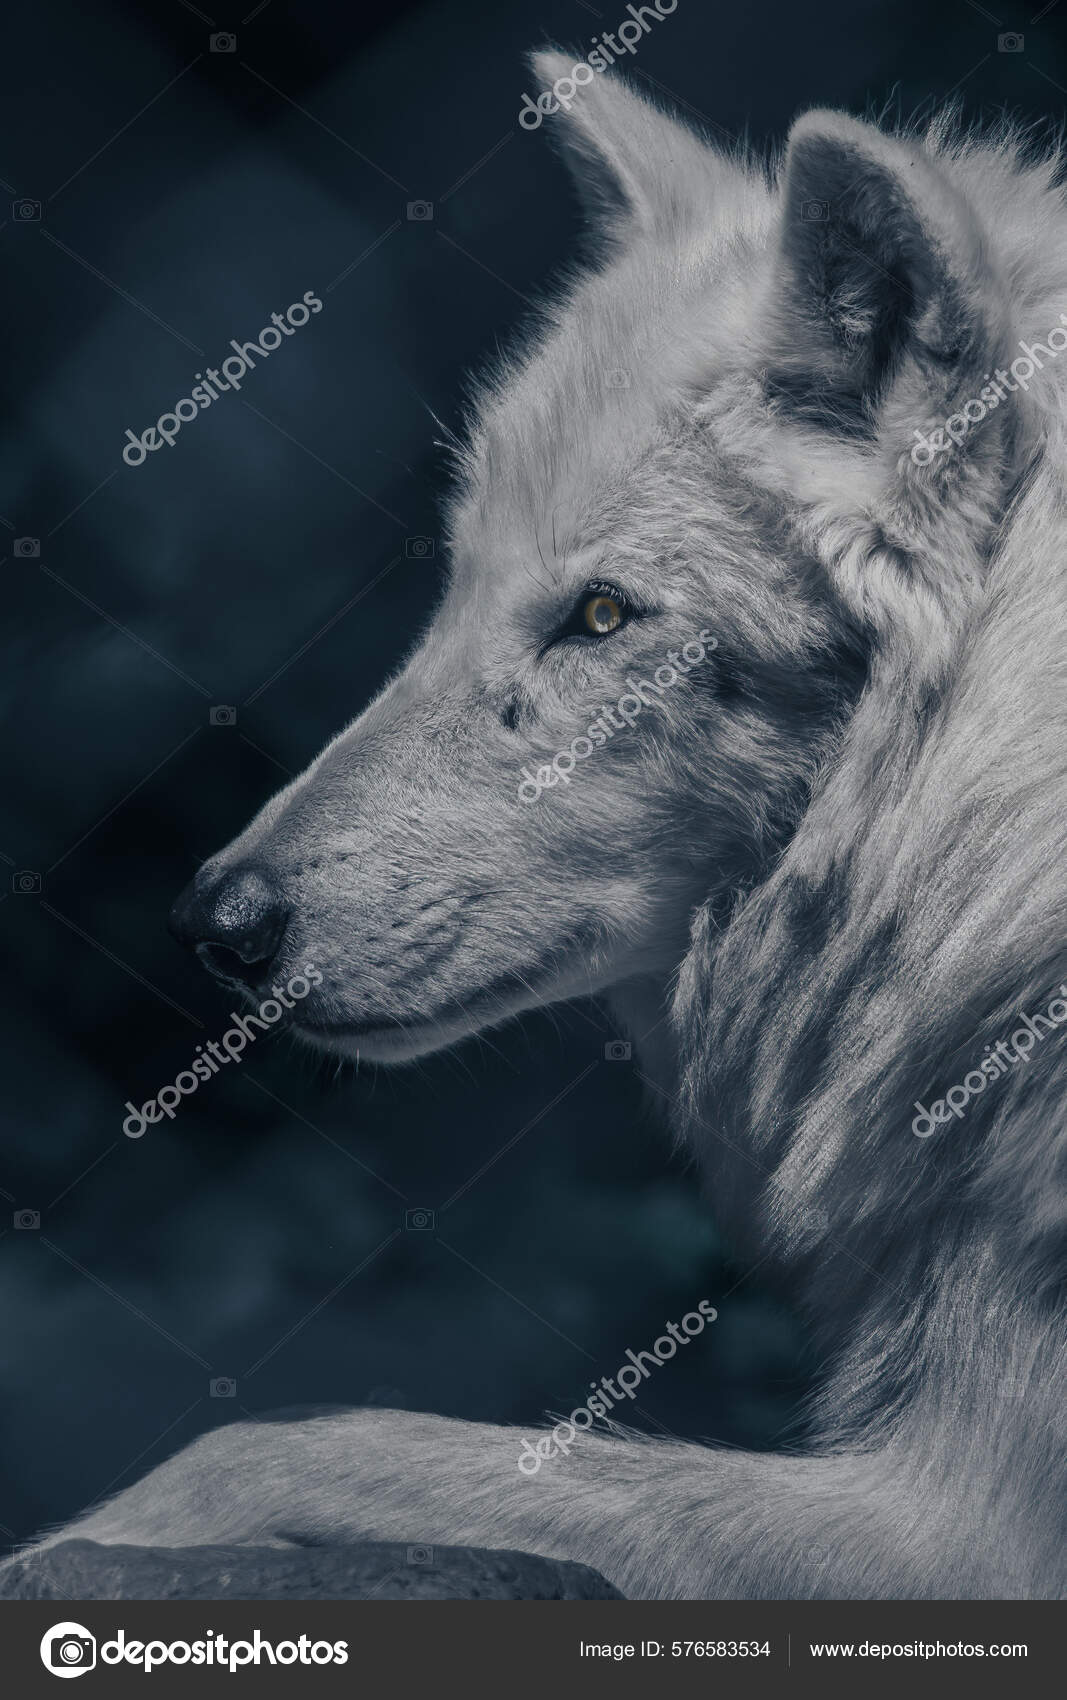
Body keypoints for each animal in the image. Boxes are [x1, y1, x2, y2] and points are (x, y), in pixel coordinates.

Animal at [22, 56, 1067, 1598]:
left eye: (601, 615)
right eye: (456, 581)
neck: (991, 808)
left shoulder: (967, 1523)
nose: (220, 923)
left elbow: (256, 1447)